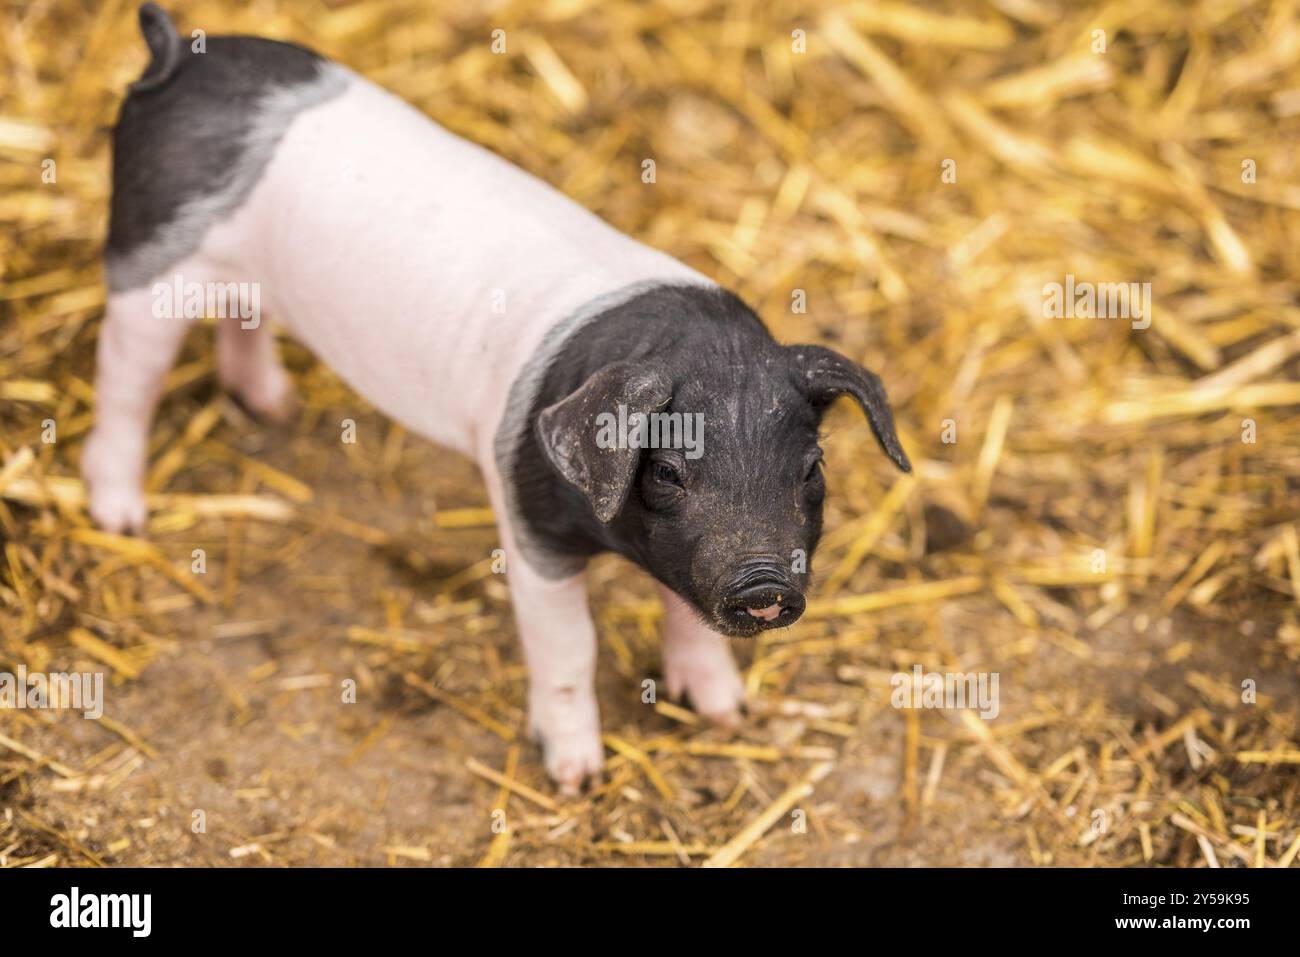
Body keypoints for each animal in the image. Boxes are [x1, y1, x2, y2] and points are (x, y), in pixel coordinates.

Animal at [83, 4, 912, 793]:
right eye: (669, 473)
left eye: (811, 470)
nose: (763, 584)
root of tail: (173, 57)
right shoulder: (530, 523)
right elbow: (572, 648)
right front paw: (577, 778)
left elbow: (692, 619)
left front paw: (728, 715)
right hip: (147, 259)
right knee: (124, 383)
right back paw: (121, 517)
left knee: (241, 321)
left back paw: (274, 407)